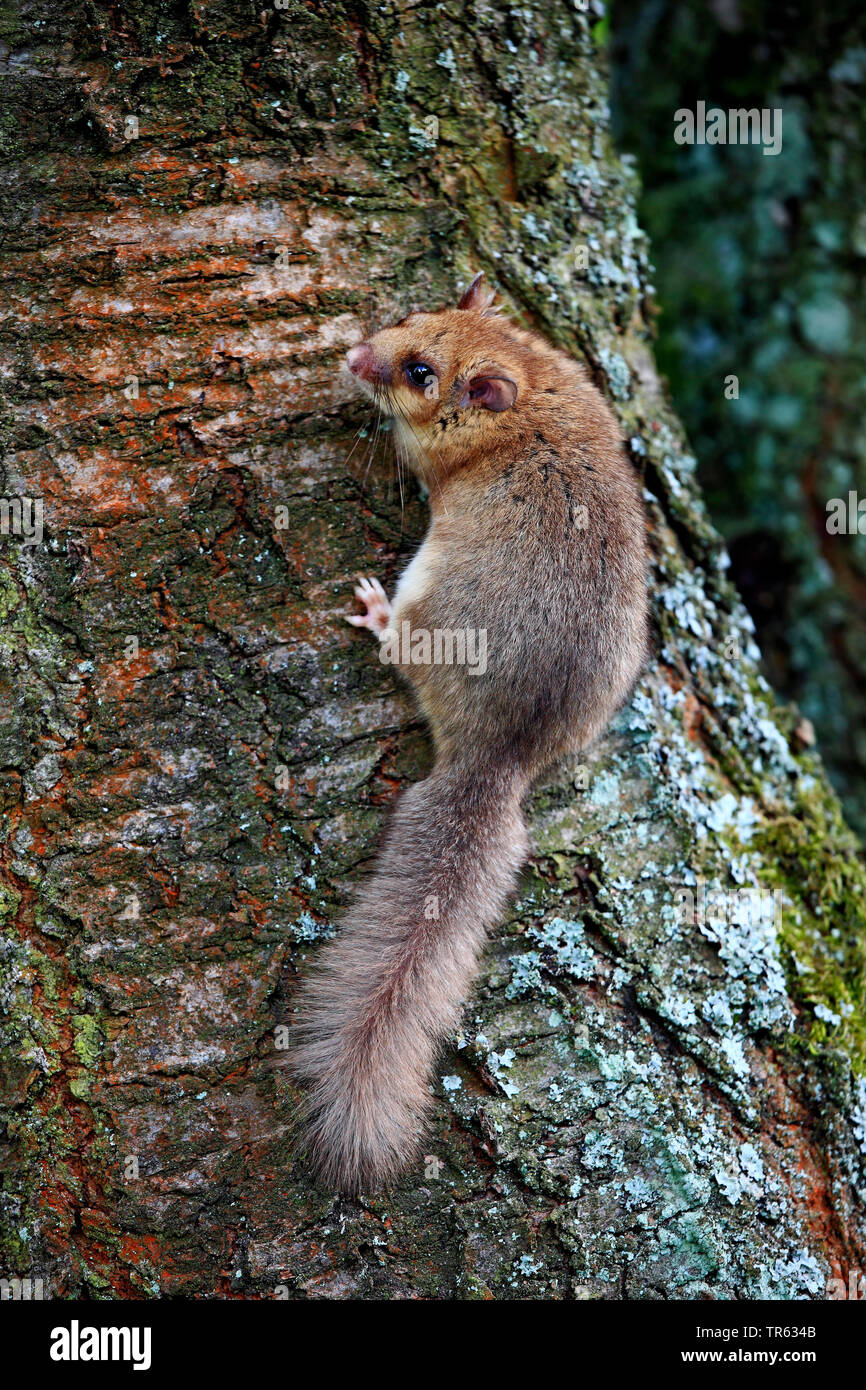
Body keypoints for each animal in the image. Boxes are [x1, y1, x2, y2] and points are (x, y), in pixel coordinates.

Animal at [290, 273, 649, 1192]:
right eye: (413, 314)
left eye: (419, 372)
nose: (353, 354)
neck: (526, 388)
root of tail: (498, 760)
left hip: (429, 604)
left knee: (399, 644)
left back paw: (376, 612)